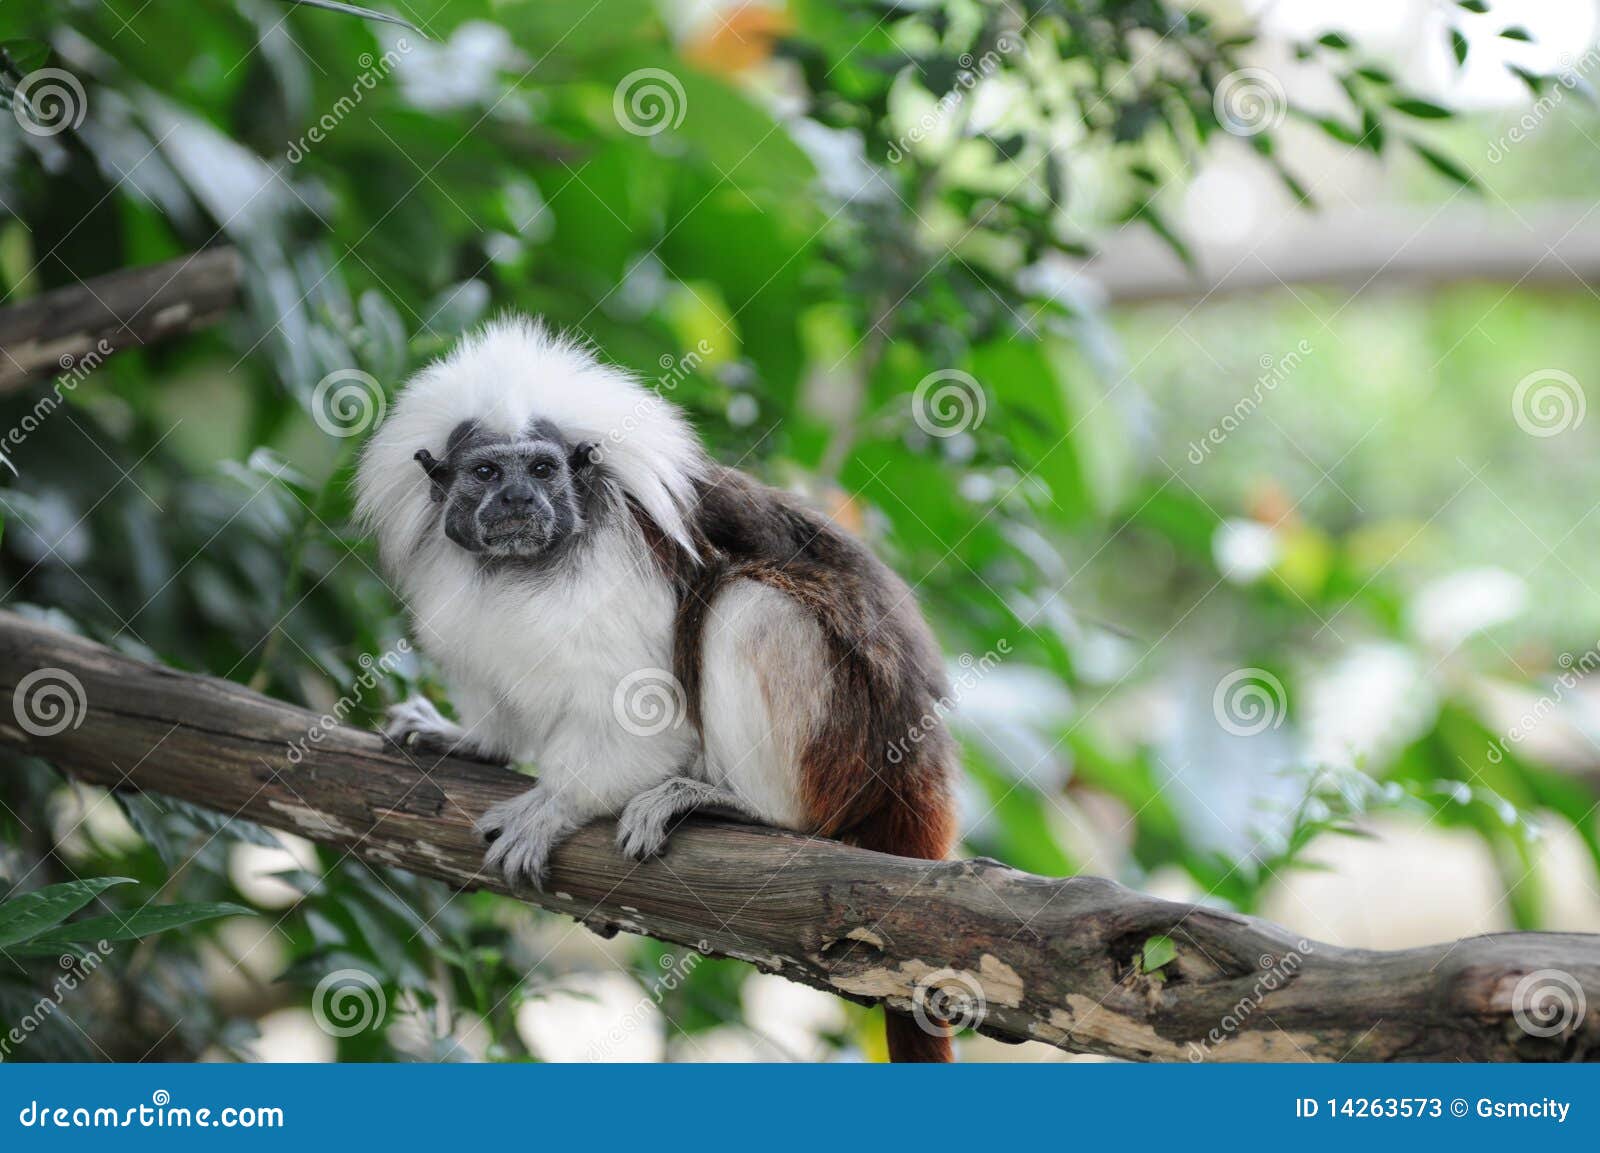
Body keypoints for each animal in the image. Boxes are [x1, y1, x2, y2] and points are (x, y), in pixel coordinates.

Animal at [355, 317, 958, 1061]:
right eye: (487, 472)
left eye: (543, 469)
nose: (520, 501)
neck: (524, 568)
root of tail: (915, 767)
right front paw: (466, 737)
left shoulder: (618, 573)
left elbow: (650, 716)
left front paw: (557, 803)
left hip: (846, 752)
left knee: (747, 606)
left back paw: (737, 804)